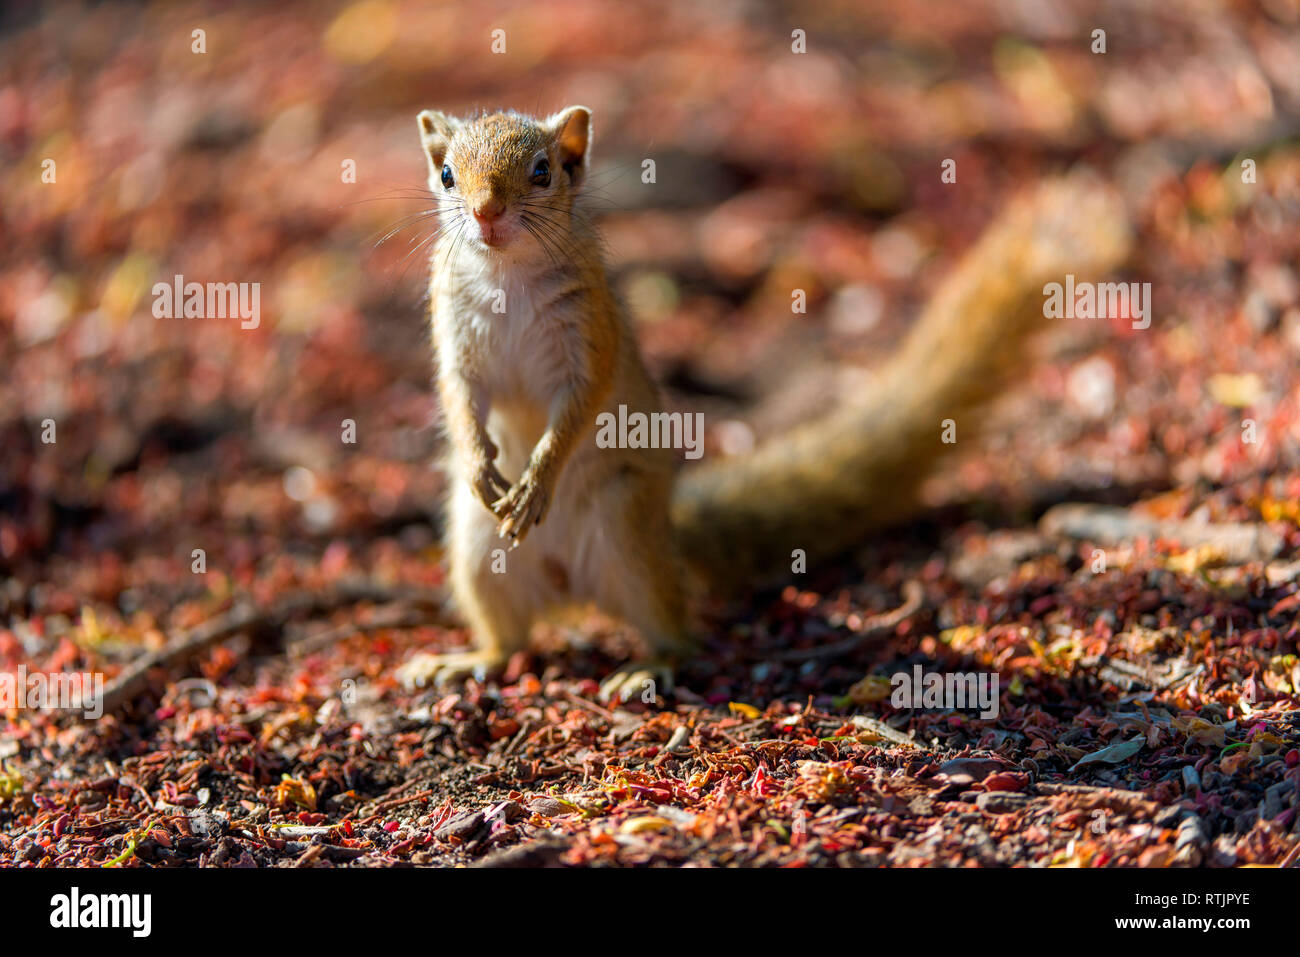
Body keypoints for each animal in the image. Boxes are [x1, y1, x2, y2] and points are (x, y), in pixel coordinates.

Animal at [397, 106, 1132, 701]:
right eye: (447, 176)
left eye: (544, 171)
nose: (487, 215)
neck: (507, 274)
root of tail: (571, 585)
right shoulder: (455, 334)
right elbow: (460, 396)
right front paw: (480, 462)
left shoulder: (588, 338)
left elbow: (578, 408)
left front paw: (537, 480)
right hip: (478, 558)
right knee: (511, 639)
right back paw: (467, 660)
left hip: (629, 540)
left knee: (676, 628)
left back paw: (650, 666)